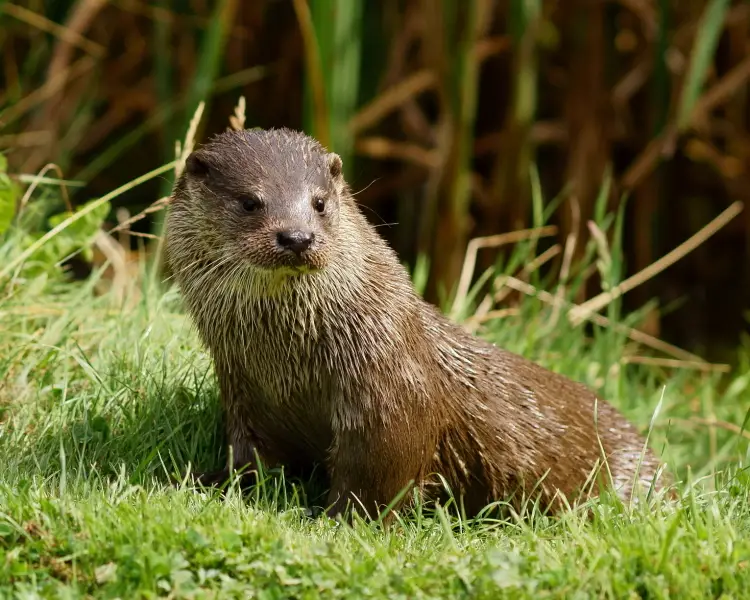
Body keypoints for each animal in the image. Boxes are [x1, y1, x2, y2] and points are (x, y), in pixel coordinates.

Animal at [165, 127, 667, 521]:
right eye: (250, 202)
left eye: (320, 203)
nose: (297, 236)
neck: (292, 368)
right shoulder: (244, 393)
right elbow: (250, 458)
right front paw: (204, 481)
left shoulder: (393, 402)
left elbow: (378, 480)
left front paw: (335, 522)